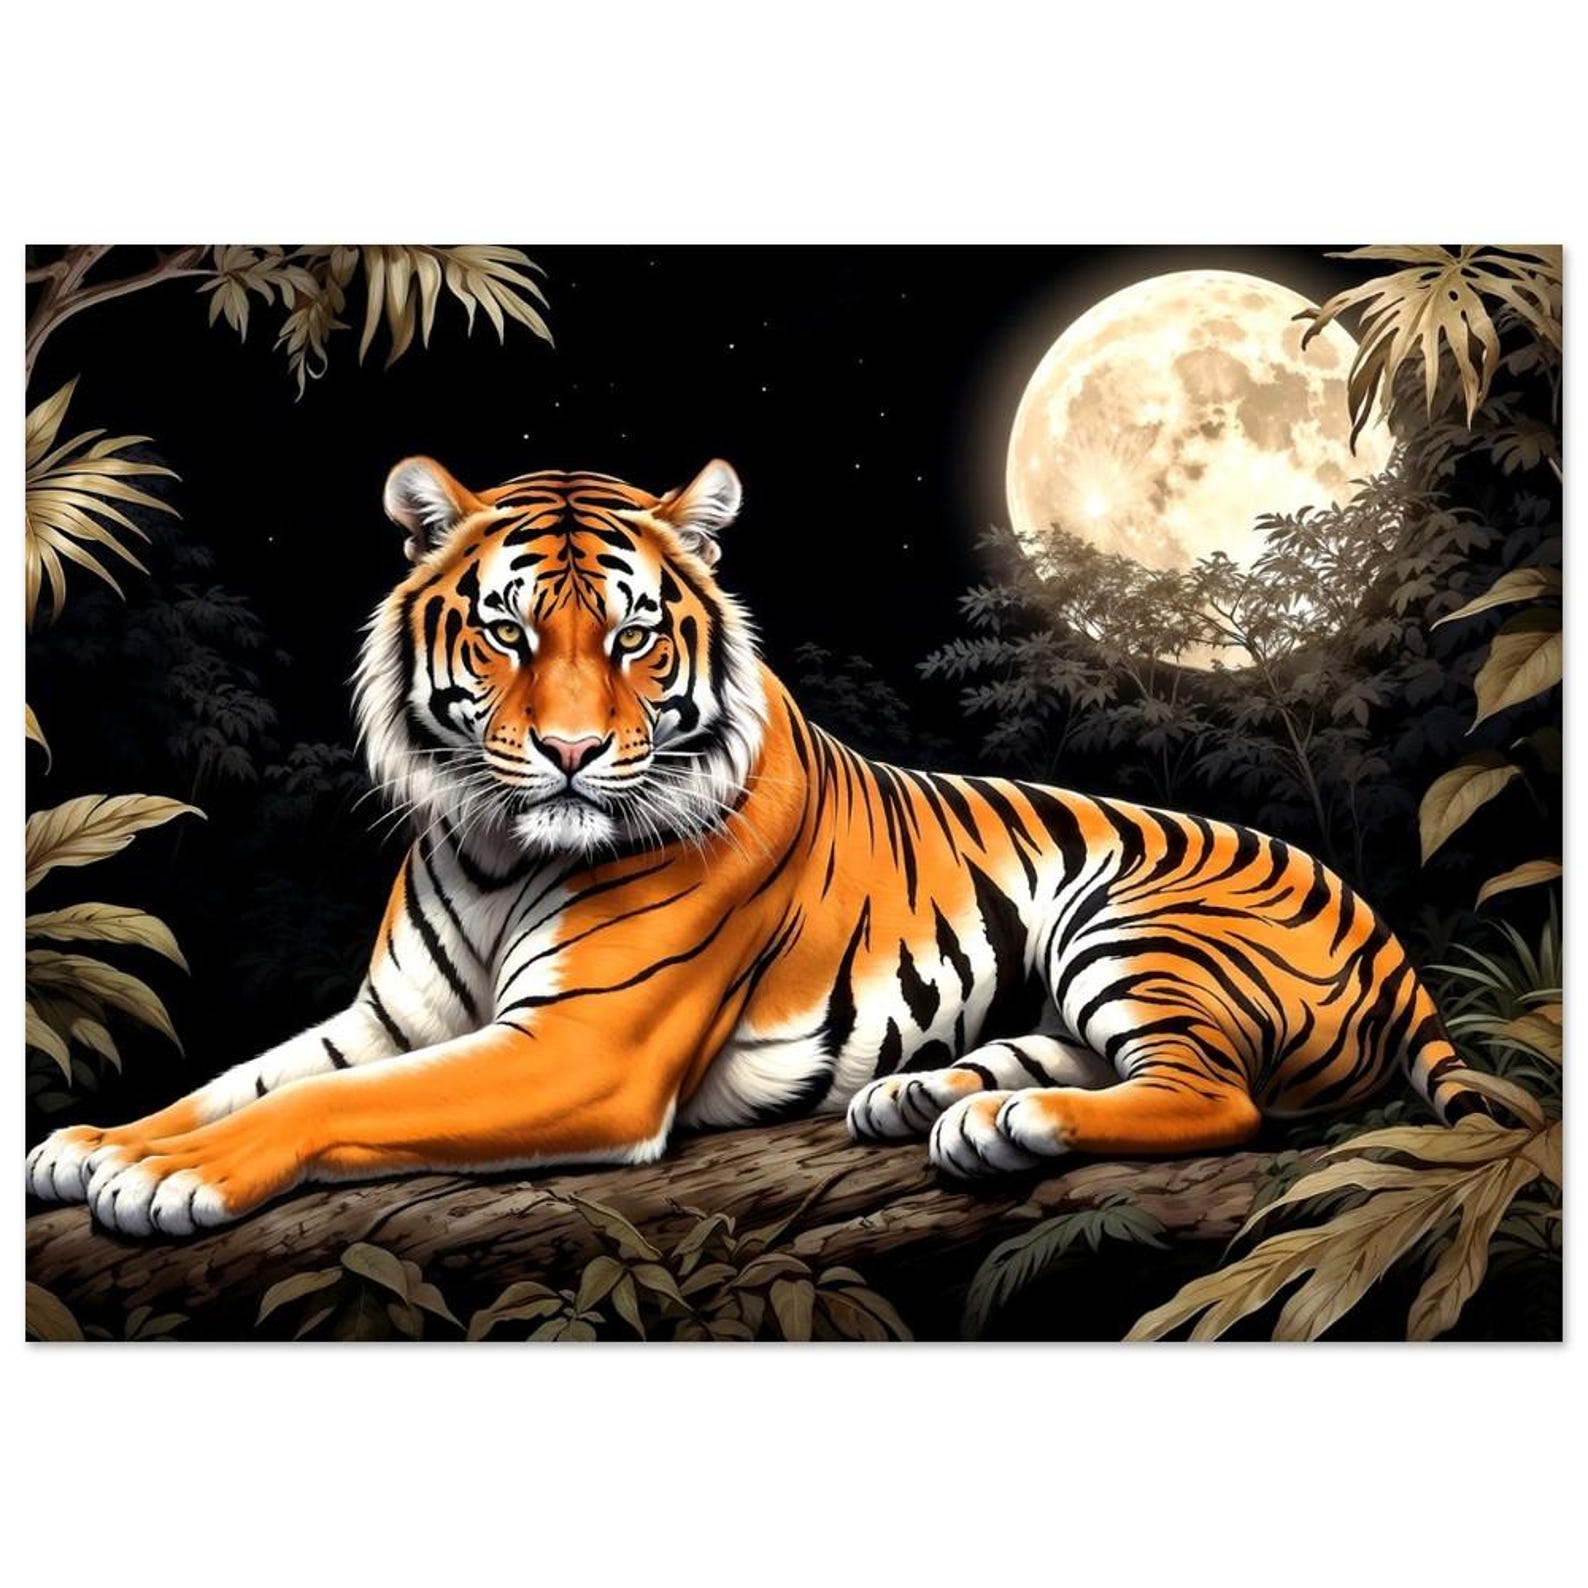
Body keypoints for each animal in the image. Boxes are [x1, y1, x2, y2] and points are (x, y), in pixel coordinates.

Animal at [26, 456, 1481, 1236]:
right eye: (506, 634)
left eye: (630, 636)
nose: (569, 752)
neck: (502, 848)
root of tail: (1387, 932)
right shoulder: (391, 1016)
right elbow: (247, 1078)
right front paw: (95, 1141)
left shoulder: (582, 1047)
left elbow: (330, 1104)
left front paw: (157, 1177)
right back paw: (939, 1103)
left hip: (1138, 921)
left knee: (1217, 1096)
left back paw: (1002, 1119)